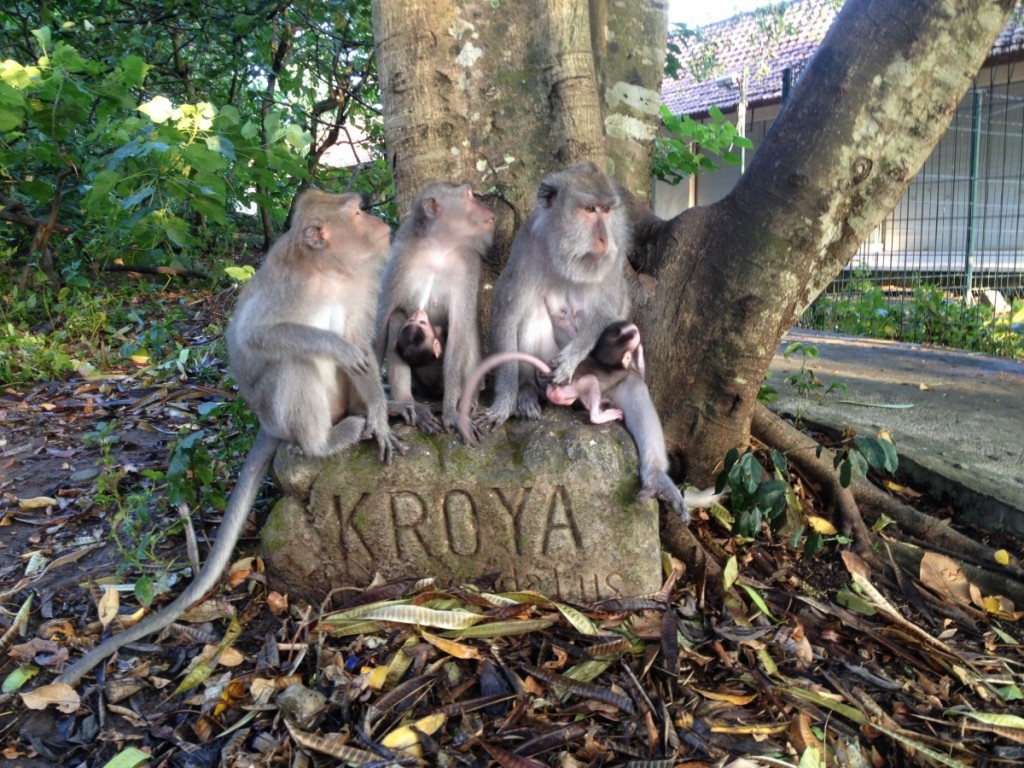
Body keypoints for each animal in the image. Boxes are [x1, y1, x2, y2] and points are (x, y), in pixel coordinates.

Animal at [58, 190, 401, 686]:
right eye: (357, 213)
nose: (378, 224)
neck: (328, 273)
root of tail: (270, 426)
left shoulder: (357, 289)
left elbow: (362, 347)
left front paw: (380, 414)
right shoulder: (288, 288)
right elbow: (258, 337)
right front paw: (335, 349)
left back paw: (375, 415)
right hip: (279, 412)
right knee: (295, 362)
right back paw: (324, 441)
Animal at [375, 182, 495, 438]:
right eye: (470, 196)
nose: (487, 207)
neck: (439, 248)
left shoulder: (468, 263)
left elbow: (459, 328)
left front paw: (451, 412)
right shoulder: (399, 258)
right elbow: (382, 321)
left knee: (466, 329)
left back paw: (466, 400)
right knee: (397, 319)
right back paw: (409, 404)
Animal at [484, 161, 631, 431]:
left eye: (606, 210)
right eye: (590, 209)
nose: (604, 239)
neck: (566, 254)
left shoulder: (614, 258)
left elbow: (608, 311)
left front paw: (570, 360)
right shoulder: (526, 247)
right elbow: (507, 315)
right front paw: (504, 402)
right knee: (532, 313)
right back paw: (527, 392)